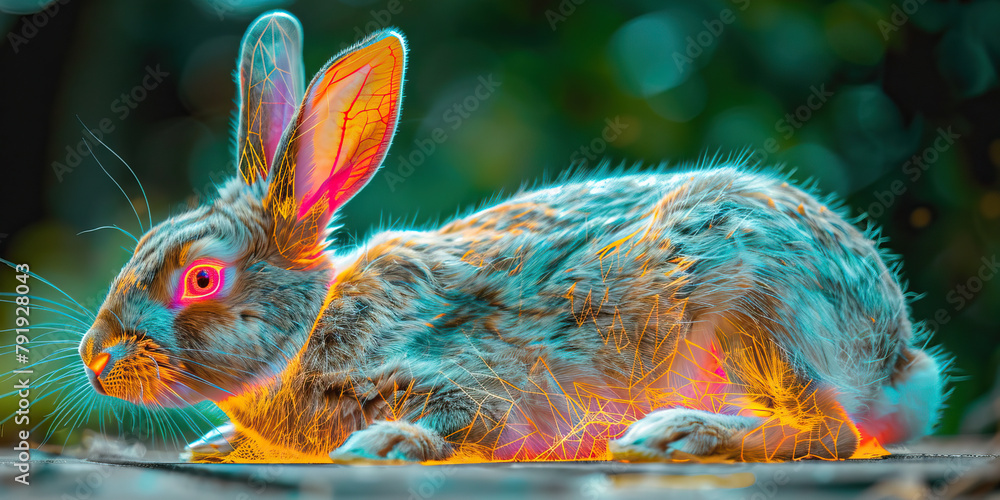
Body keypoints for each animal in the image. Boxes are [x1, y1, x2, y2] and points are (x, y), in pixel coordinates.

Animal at [77, 10, 948, 464]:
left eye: (201, 280)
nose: (95, 357)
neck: (311, 327)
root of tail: (895, 356)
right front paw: (216, 444)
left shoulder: (458, 384)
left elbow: (464, 423)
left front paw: (383, 445)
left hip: (753, 314)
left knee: (827, 432)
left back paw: (676, 434)